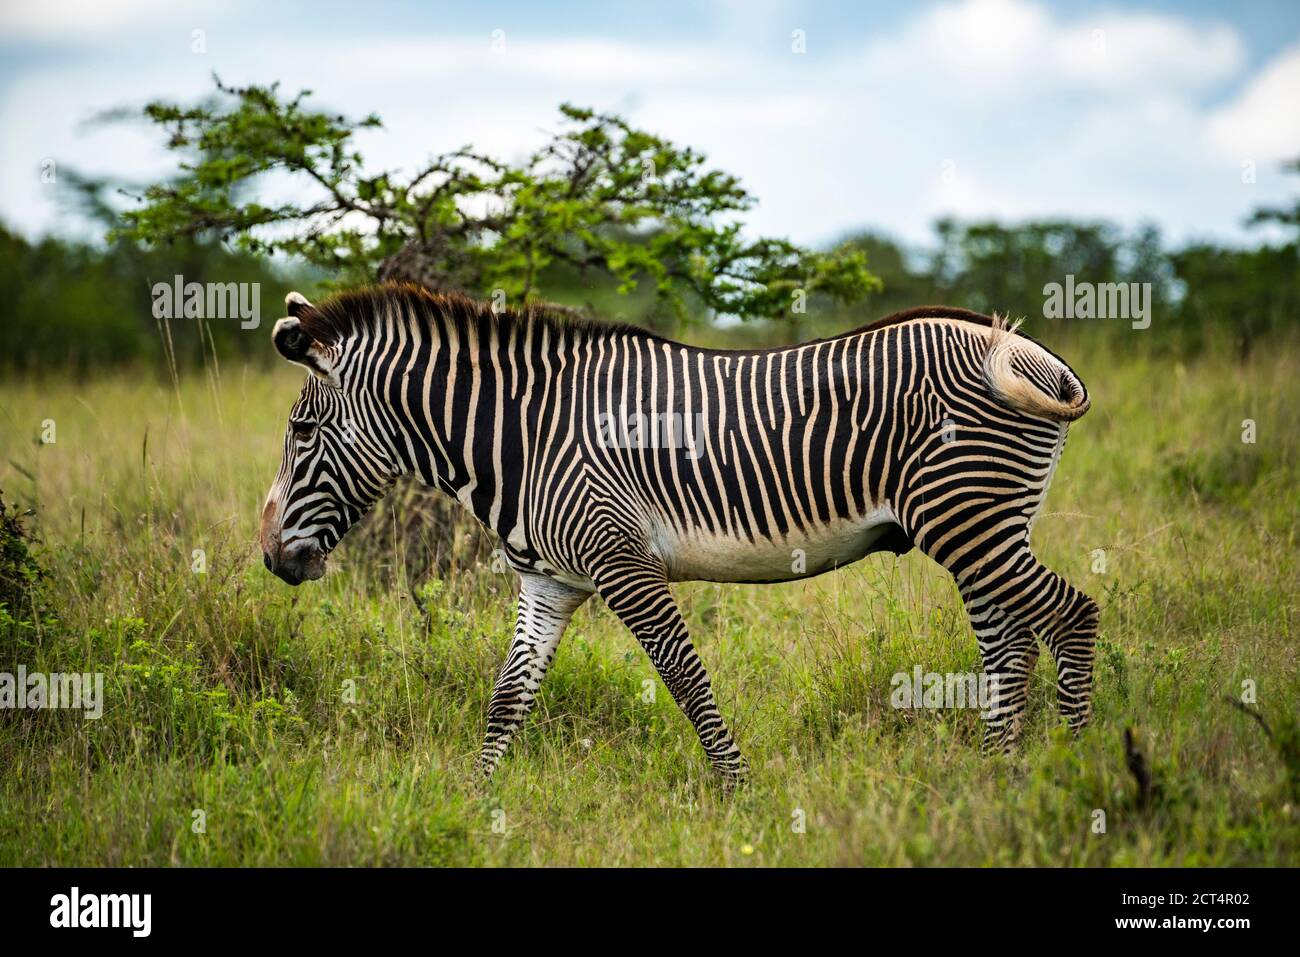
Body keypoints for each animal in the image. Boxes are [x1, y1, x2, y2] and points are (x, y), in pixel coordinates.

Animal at [260, 284, 1098, 782]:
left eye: (301, 432)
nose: (270, 557)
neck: (524, 436)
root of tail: (1020, 345)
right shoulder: (548, 581)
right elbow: (506, 699)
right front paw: (475, 803)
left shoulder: (622, 562)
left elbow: (686, 680)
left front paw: (741, 793)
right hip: (976, 526)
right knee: (1009, 644)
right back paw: (996, 773)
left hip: (969, 517)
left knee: (1071, 615)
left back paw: (1074, 767)